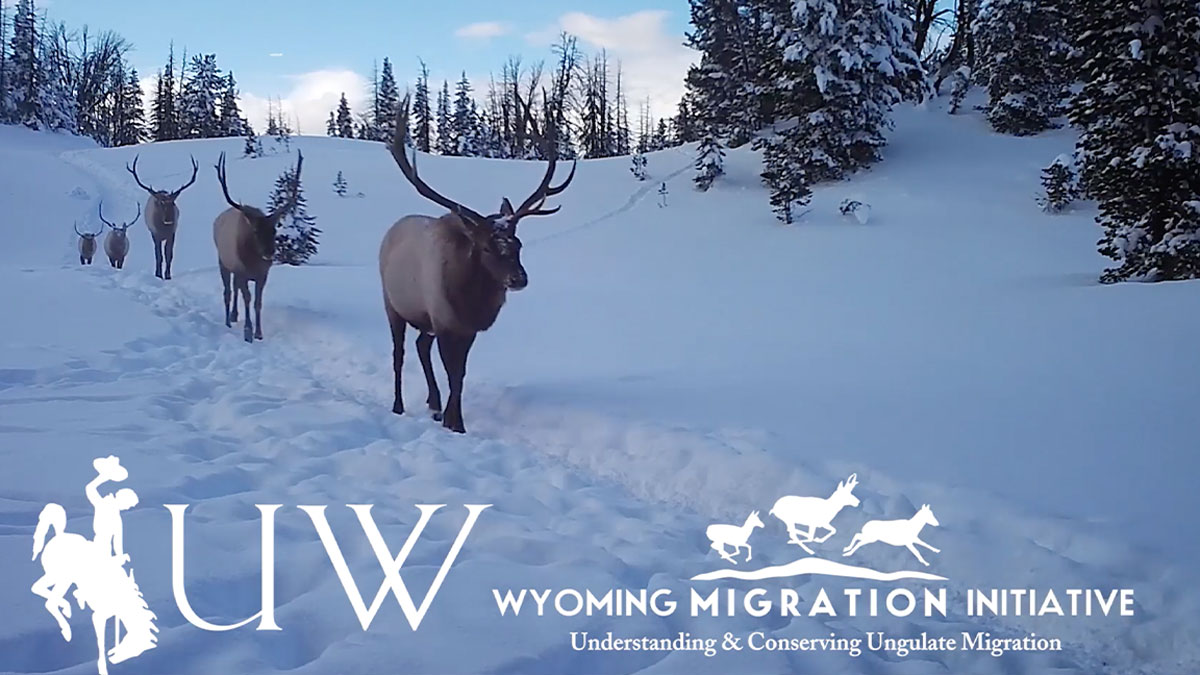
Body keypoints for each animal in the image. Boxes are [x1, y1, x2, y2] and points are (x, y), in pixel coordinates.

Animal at [212, 150, 303, 343]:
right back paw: (228, 321)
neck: (253, 261)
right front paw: (248, 332)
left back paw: (233, 315)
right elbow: (247, 298)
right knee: (227, 292)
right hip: (223, 262)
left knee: (234, 288)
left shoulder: (262, 274)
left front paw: (259, 333)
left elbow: (257, 303)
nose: (269, 252)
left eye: (274, 230)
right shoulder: (241, 271)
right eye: (255, 231)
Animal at [380, 93, 575, 433]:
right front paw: (454, 423)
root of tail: (391, 230)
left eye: (518, 243)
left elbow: (460, 376)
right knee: (399, 353)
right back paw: (398, 406)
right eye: (486, 247)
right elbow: (453, 374)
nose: (519, 279)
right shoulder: (445, 322)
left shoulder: (464, 328)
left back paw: (433, 403)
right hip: (393, 304)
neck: (470, 300)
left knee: (420, 346)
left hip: (424, 320)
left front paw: (451, 419)